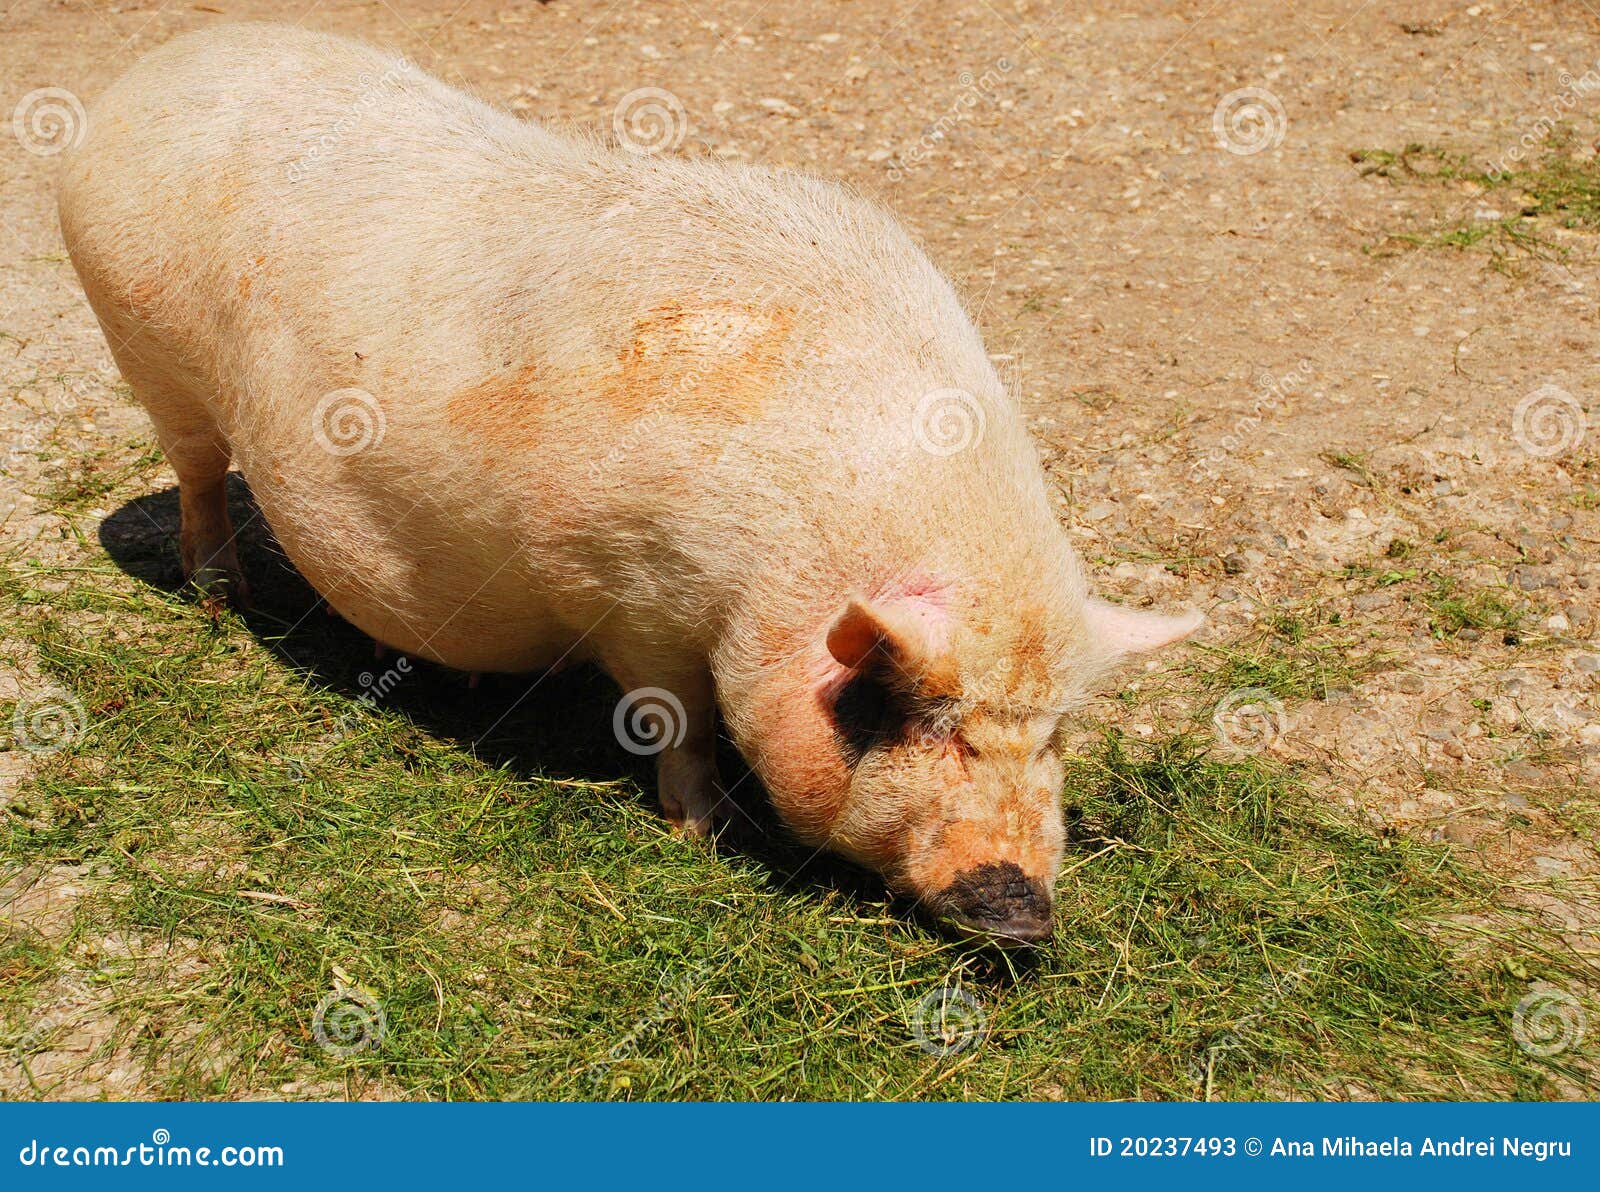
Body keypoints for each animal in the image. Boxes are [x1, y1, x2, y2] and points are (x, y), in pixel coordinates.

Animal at [57, 24, 1201, 944]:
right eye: (894, 708)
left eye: (1054, 735)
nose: (1022, 917)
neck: (779, 564)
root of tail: (159, 65)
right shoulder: (630, 594)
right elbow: (676, 717)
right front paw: (705, 832)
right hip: (142, 343)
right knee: (198, 475)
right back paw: (223, 598)